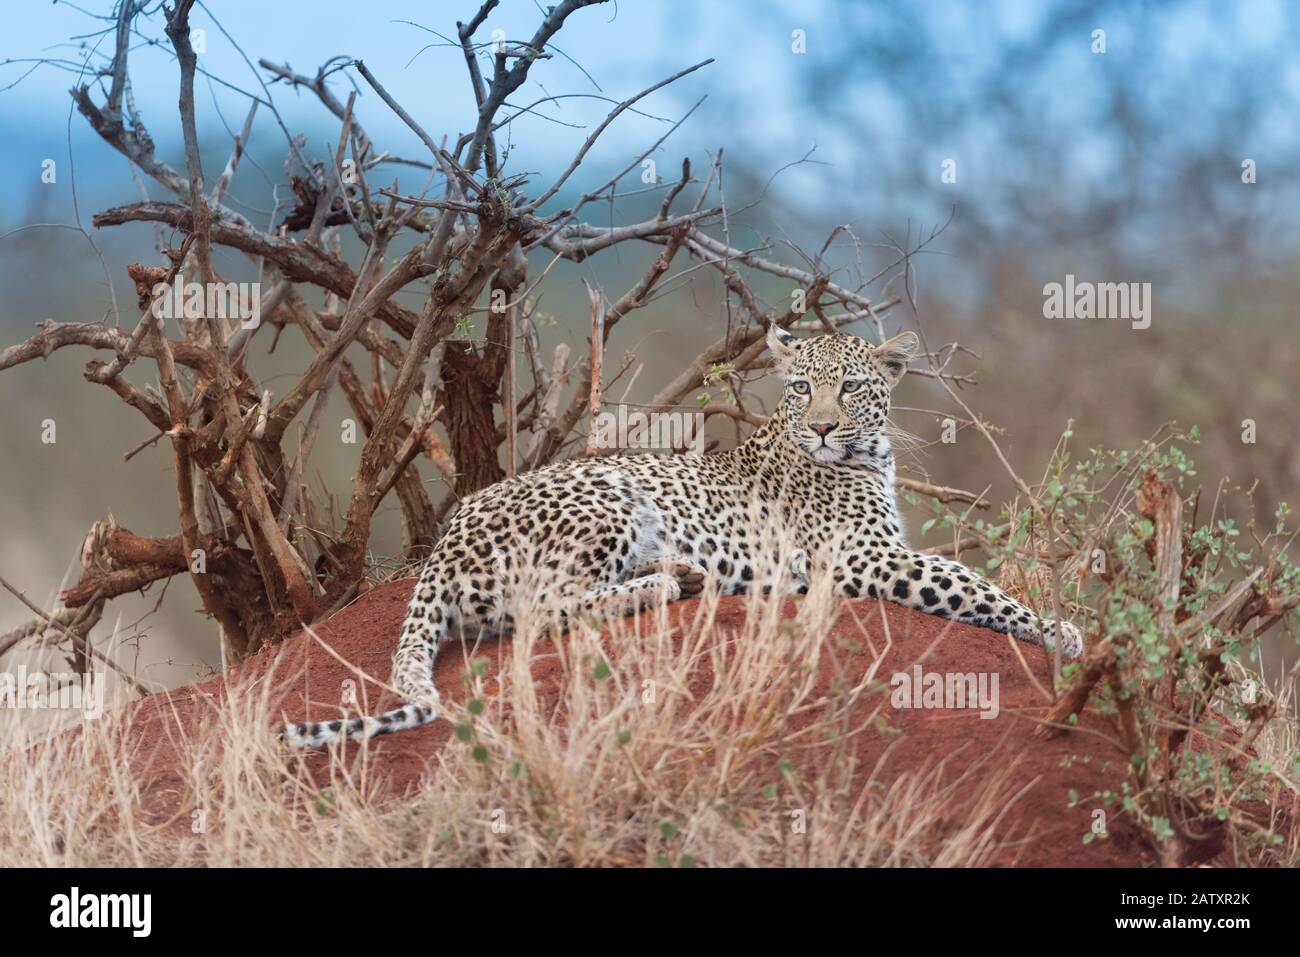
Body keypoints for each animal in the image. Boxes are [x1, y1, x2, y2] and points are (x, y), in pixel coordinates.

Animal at [282, 327, 1083, 747]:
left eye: (850, 387)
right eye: (802, 387)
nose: (824, 426)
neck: (864, 453)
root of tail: (446, 543)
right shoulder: (866, 557)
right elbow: (969, 581)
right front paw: (1059, 630)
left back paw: (685, 576)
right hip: (609, 496)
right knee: (544, 608)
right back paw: (671, 579)